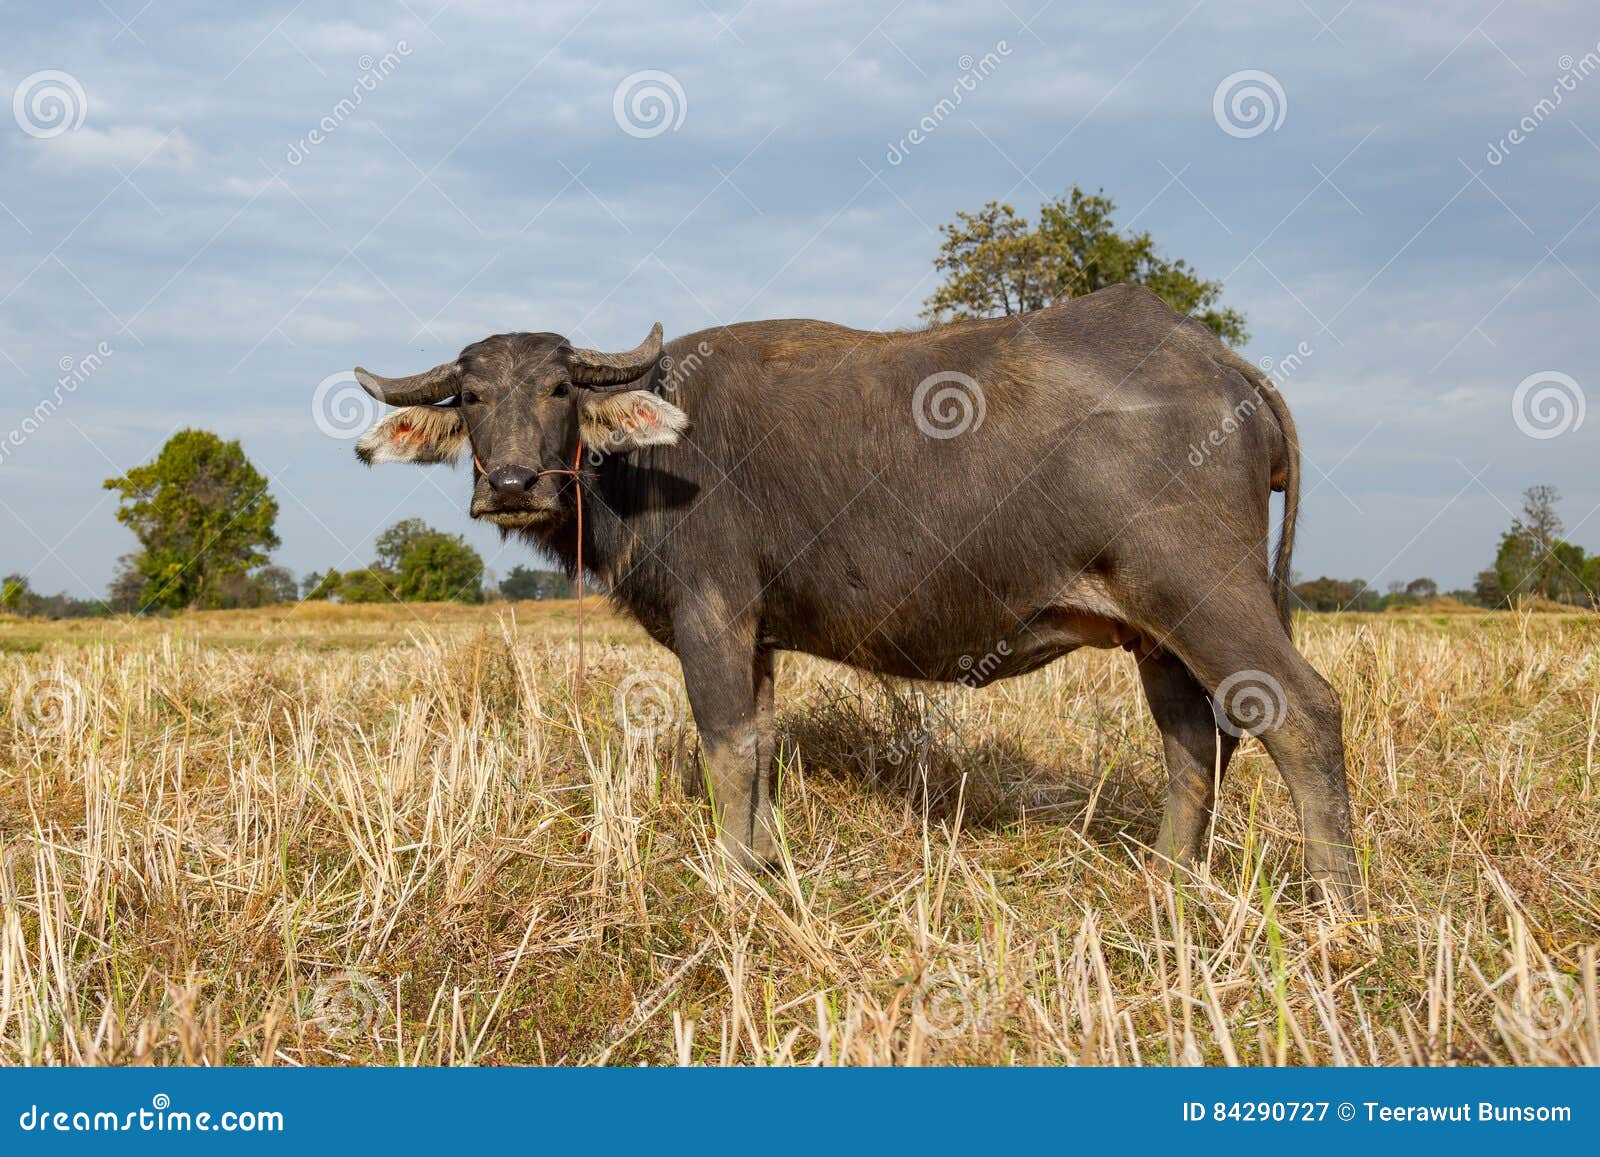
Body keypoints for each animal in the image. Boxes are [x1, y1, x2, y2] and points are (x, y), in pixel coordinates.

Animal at [349, 284, 1363, 910]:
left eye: (560, 385)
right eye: (471, 395)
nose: (512, 483)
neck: (642, 462)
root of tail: (1217, 362)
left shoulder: (714, 620)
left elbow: (725, 750)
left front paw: (731, 879)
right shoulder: (757, 639)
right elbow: (759, 749)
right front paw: (761, 863)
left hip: (1206, 592)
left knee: (1299, 712)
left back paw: (1335, 905)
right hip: (1154, 628)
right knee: (1195, 740)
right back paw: (1169, 881)